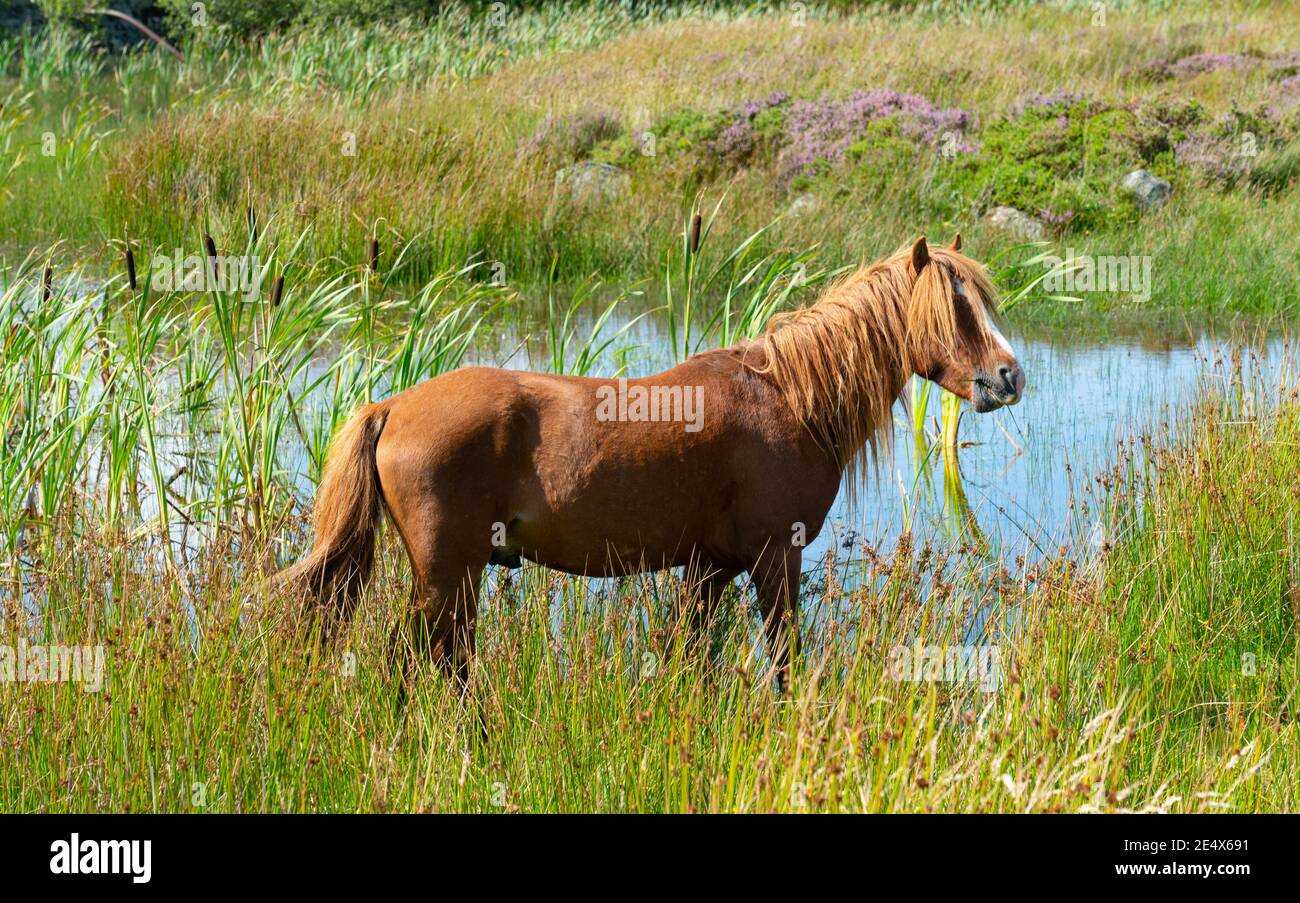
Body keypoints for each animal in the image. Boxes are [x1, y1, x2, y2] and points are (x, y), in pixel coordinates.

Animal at [277, 235, 1025, 691]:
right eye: (954, 310)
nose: (1008, 377)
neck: (787, 396)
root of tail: (393, 405)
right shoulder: (775, 560)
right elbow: (784, 663)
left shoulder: (710, 570)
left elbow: (690, 660)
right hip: (446, 574)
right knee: (425, 666)